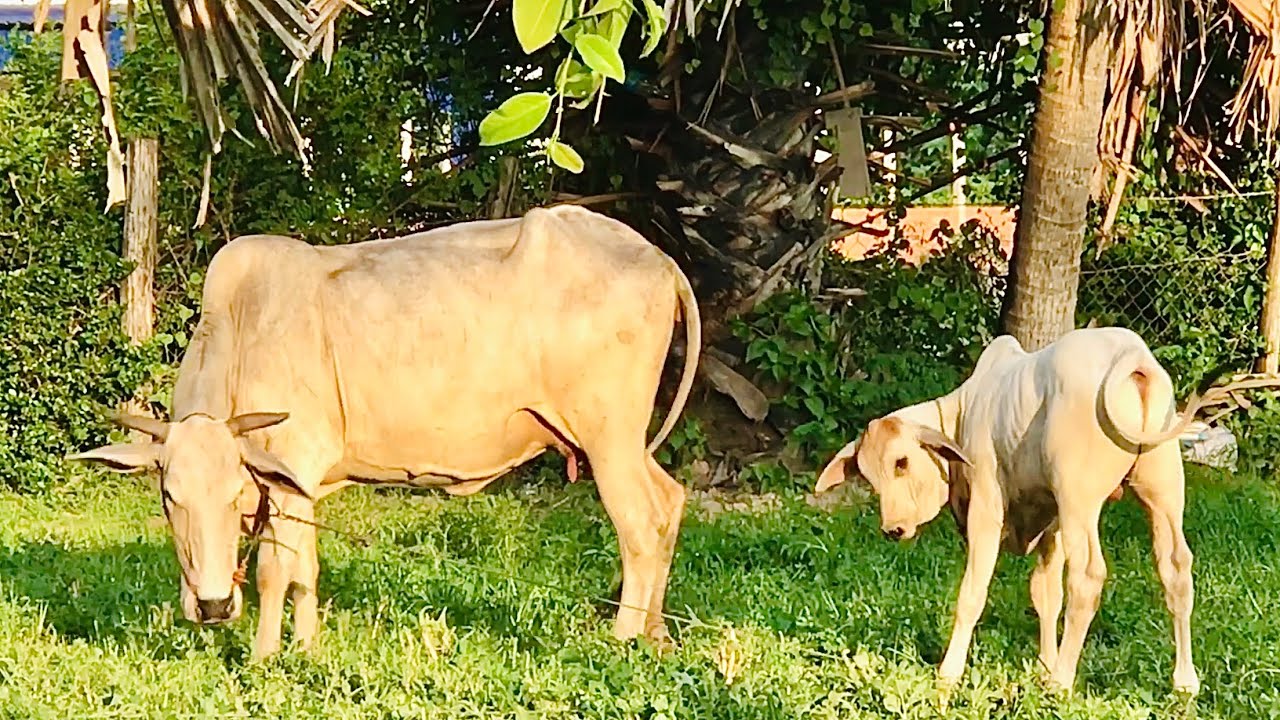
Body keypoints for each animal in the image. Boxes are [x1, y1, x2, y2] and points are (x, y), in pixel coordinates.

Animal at [70, 205, 701, 660]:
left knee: (640, 524)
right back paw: (657, 637)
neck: (242, 330)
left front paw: (264, 656)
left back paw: (622, 639)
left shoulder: (289, 463)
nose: (214, 606)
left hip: (609, 437)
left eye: (231, 495)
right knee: (670, 502)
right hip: (623, 441)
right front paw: (308, 648)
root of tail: (661, 260)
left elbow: (276, 570)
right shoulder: (300, 483)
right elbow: (306, 571)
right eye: (169, 497)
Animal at [812, 327, 1201, 696]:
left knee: (1087, 576)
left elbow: (972, 593)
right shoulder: (1053, 524)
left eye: (901, 462)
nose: (893, 528)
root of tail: (1130, 354)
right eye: (867, 475)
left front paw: (949, 675)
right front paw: (1044, 665)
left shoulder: (987, 507)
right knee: (1175, 567)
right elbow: (1045, 592)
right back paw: (1184, 683)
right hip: (1162, 486)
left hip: (1079, 500)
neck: (962, 411)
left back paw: (1062, 681)